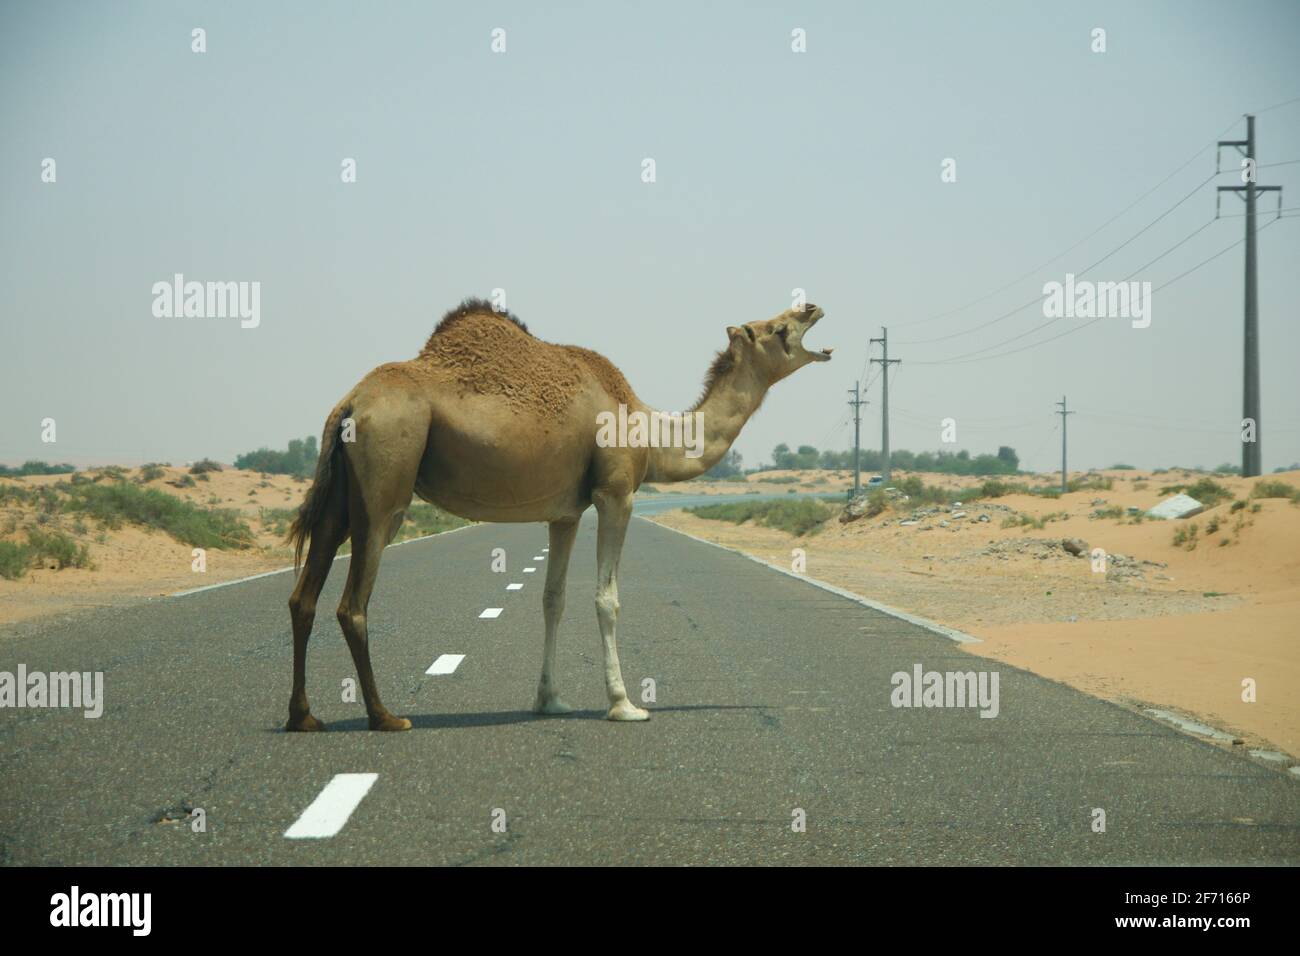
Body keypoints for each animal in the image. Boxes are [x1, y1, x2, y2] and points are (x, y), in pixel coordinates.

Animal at [284, 299, 832, 731]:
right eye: (774, 328)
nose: (811, 307)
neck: (648, 428)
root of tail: (348, 404)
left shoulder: (565, 513)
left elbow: (553, 599)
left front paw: (550, 700)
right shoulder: (615, 493)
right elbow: (606, 598)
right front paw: (624, 704)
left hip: (339, 497)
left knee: (303, 596)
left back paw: (304, 716)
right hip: (385, 486)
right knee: (353, 602)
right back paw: (385, 717)